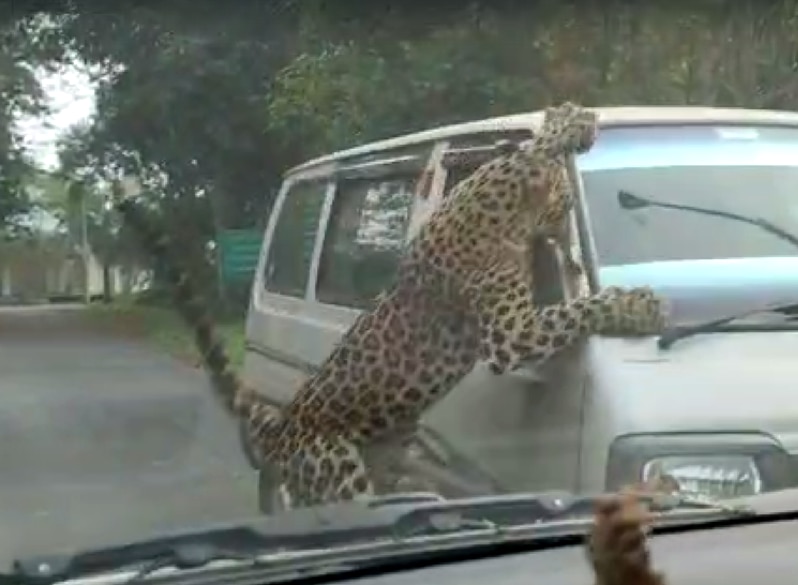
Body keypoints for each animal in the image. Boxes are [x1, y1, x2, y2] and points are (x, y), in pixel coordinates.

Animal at [114, 101, 667, 510]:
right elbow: (577, 309)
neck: (501, 201)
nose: (565, 214)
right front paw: (639, 304)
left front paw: (567, 116)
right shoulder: (509, 335)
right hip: (337, 469)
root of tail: (281, 426)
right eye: (567, 202)